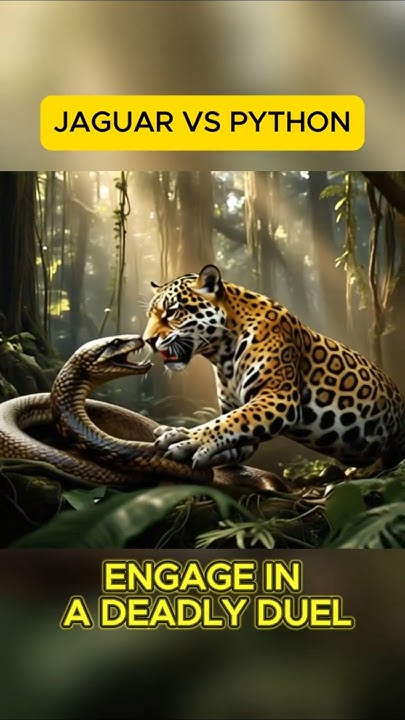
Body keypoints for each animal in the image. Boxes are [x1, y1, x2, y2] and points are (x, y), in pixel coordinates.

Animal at [143, 264, 405, 473]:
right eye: (150, 315)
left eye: (172, 312)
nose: (147, 340)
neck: (222, 355)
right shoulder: (244, 421)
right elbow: (231, 430)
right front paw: (180, 434)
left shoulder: (279, 397)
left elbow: (226, 422)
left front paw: (187, 438)